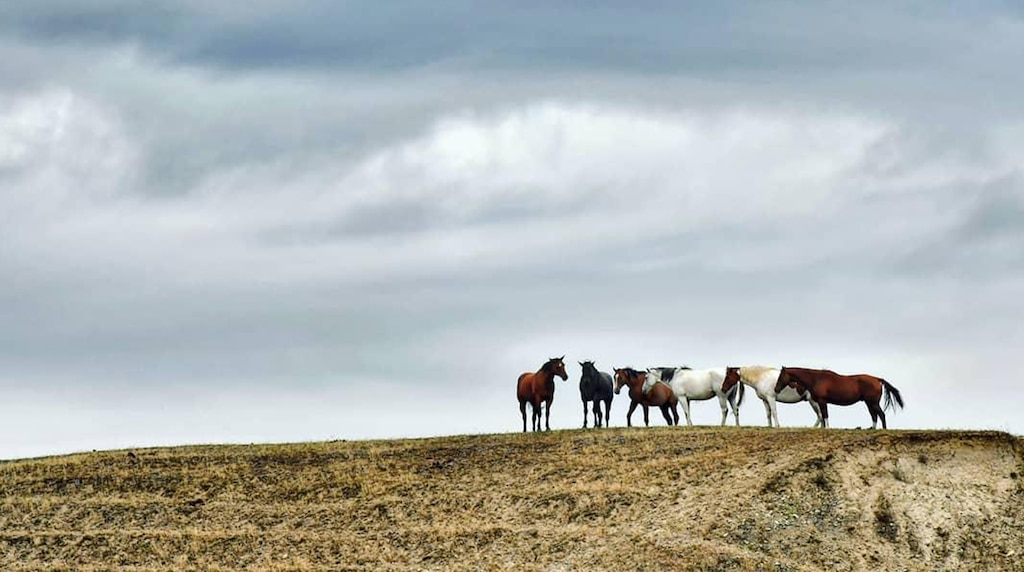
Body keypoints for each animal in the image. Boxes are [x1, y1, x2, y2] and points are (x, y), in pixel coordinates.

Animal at [775, 367, 904, 429]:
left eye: (780, 376)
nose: (776, 389)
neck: (816, 378)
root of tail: (878, 379)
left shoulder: (822, 401)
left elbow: (825, 415)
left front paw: (827, 428)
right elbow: (823, 416)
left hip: (873, 403)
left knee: (881, 414)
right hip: (869, 403)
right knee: (874, 415)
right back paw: (872, 428)